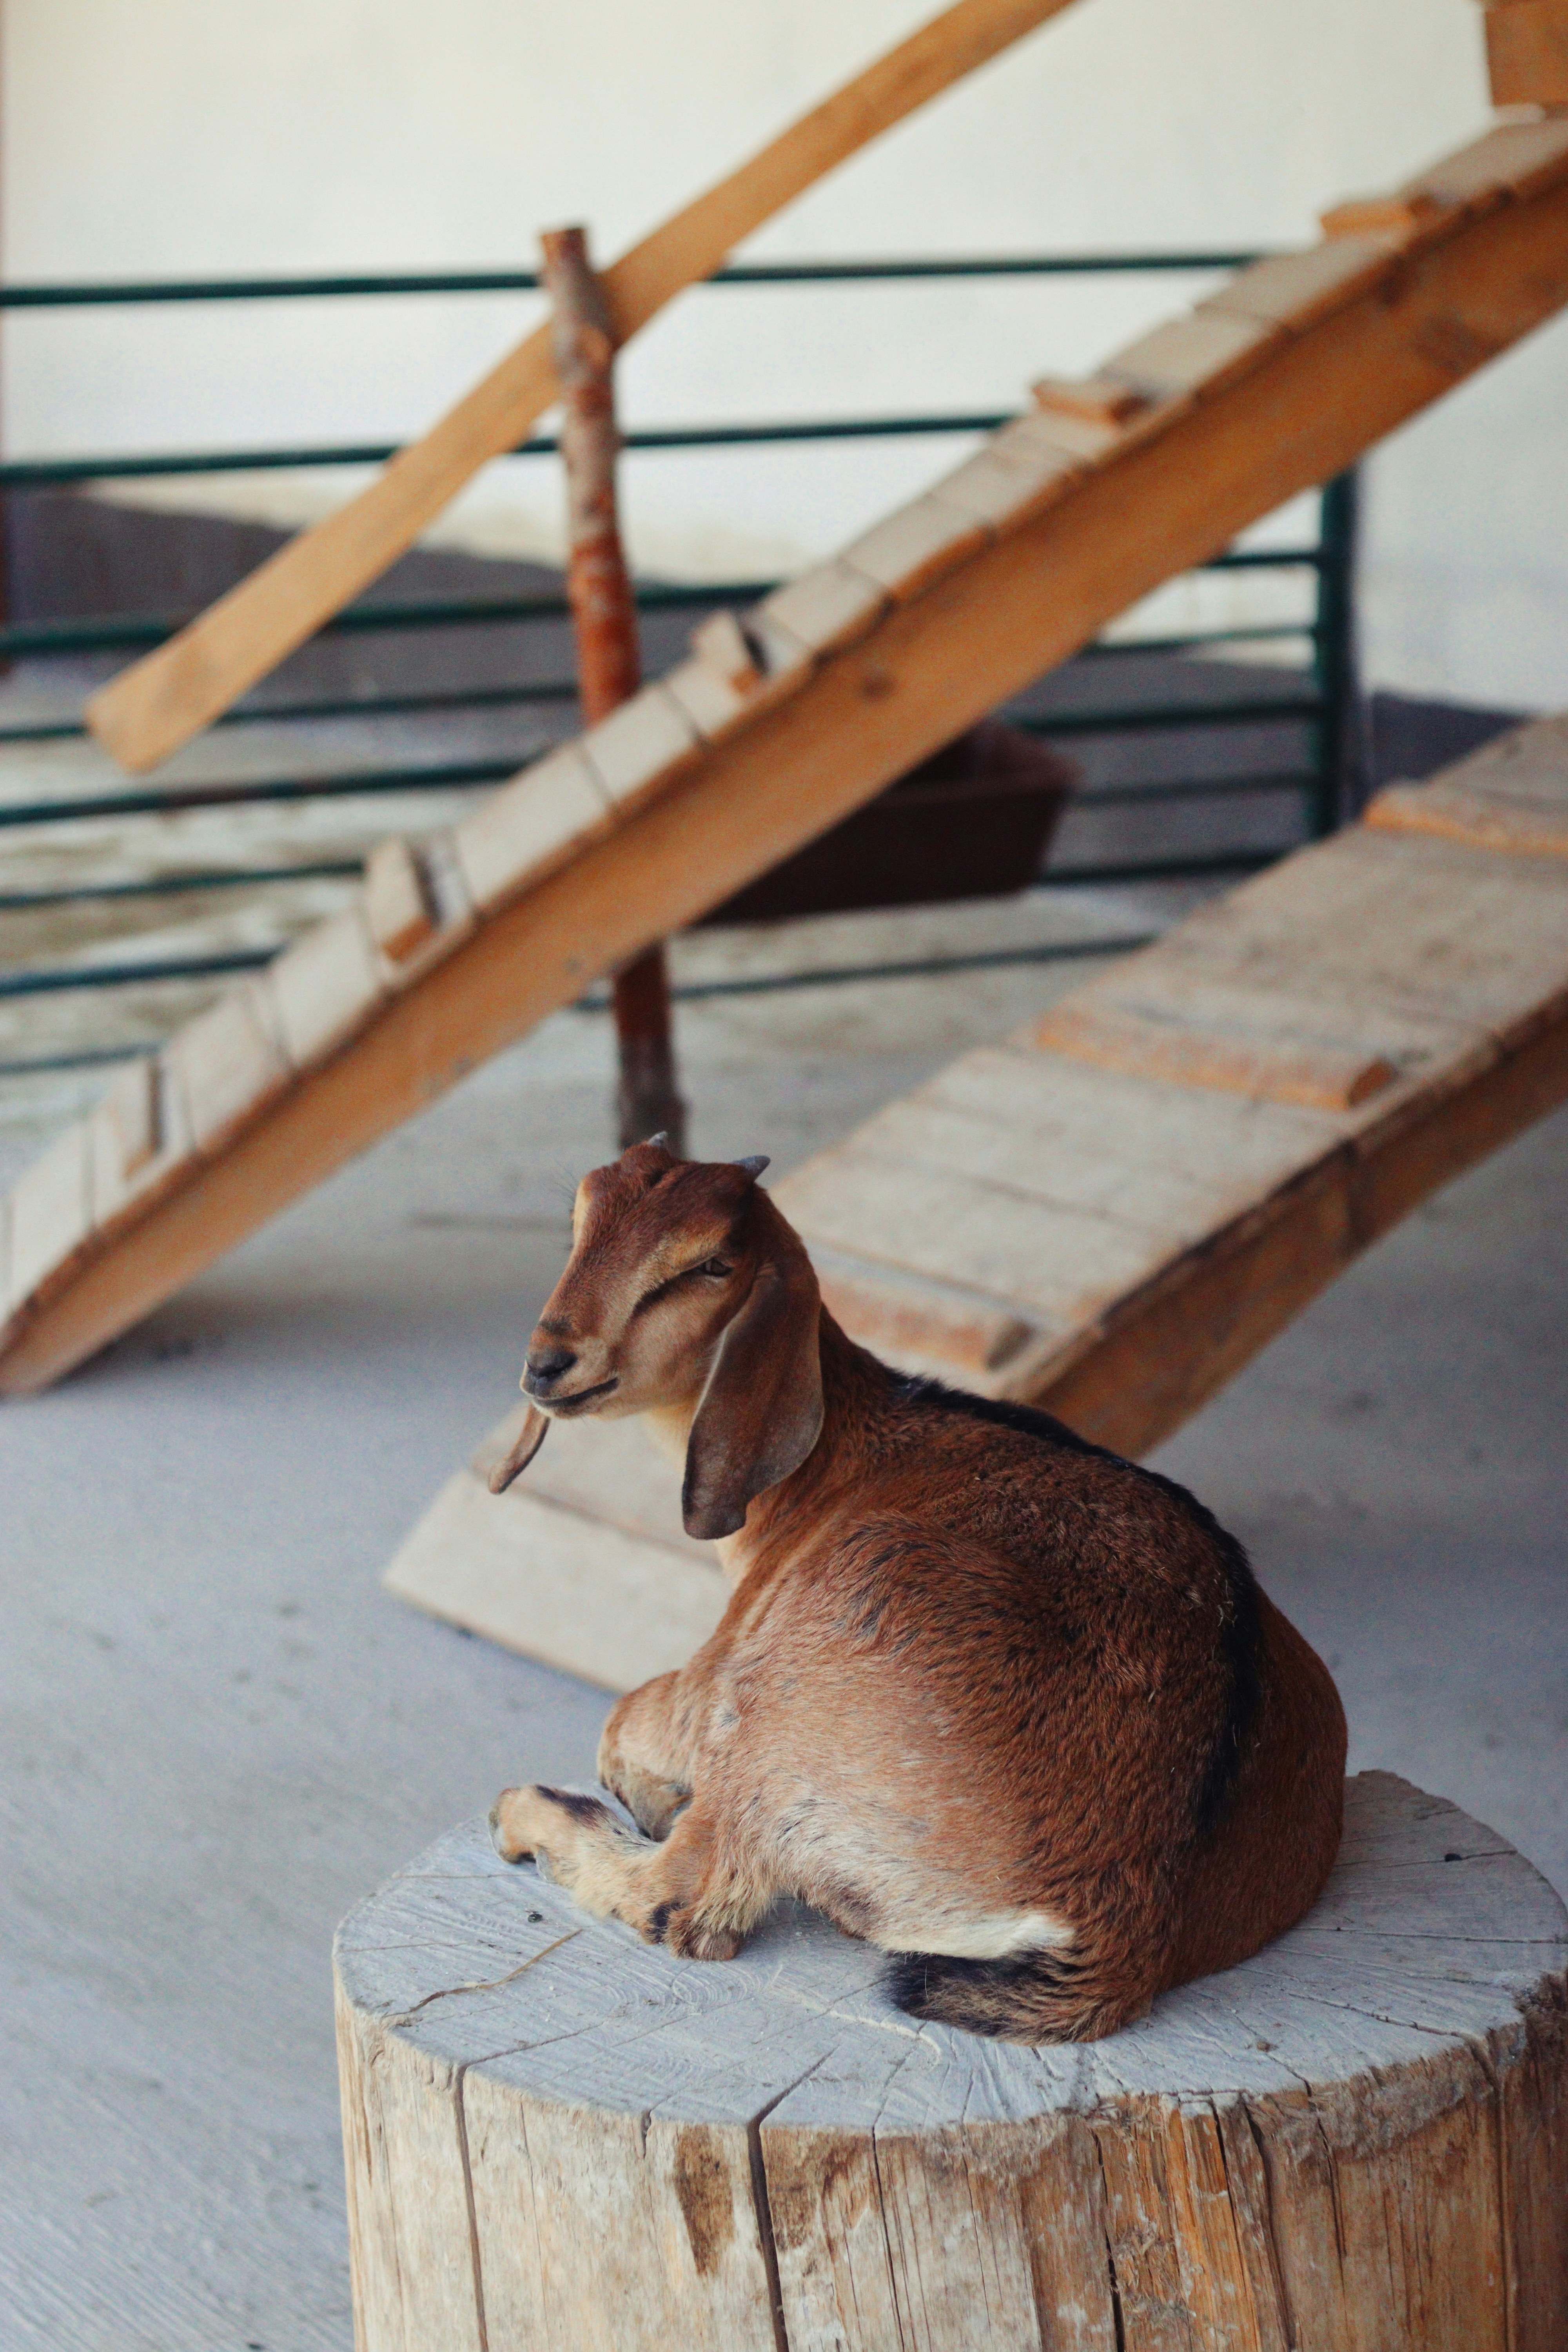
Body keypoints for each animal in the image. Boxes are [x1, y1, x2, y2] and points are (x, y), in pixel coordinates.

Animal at [489, 1139, 1347, 2043]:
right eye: (580, 1219)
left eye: (709, 1265)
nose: (548, 1364)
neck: (834, 1465)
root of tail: (1129, 1925)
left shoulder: (717, 1677)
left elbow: (624, 1723)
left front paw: (646, 1795)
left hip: (787, 1713)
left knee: (687, 1895)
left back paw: (526, 1814)